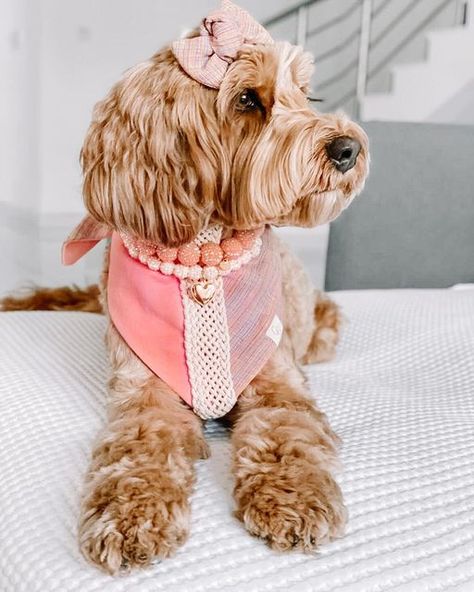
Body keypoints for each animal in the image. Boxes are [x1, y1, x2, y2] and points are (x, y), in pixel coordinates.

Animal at [1, 0, 368, 572]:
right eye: (248, 99)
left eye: (306, 95)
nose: (348, 148)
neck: (203, 257)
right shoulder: (144, 392)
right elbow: (140, 447)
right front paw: (131, 513)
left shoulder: (279, 382)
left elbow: (288, 435)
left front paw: (295, 498)